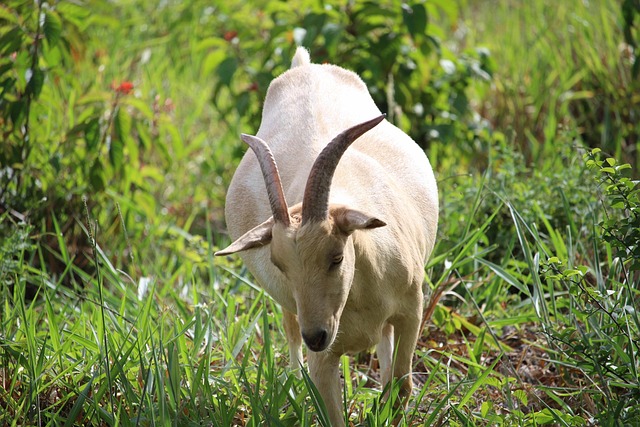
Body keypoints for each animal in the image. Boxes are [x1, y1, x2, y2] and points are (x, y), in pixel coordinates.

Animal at [215, 47, 438, 426]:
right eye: (280, 265)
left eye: (336, 257)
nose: (317, 336)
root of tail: (305, 67)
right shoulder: (322, 358)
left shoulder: (412, 308)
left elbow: (401, 388)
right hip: (292, 313)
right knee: (291, 331)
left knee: (384, 341)